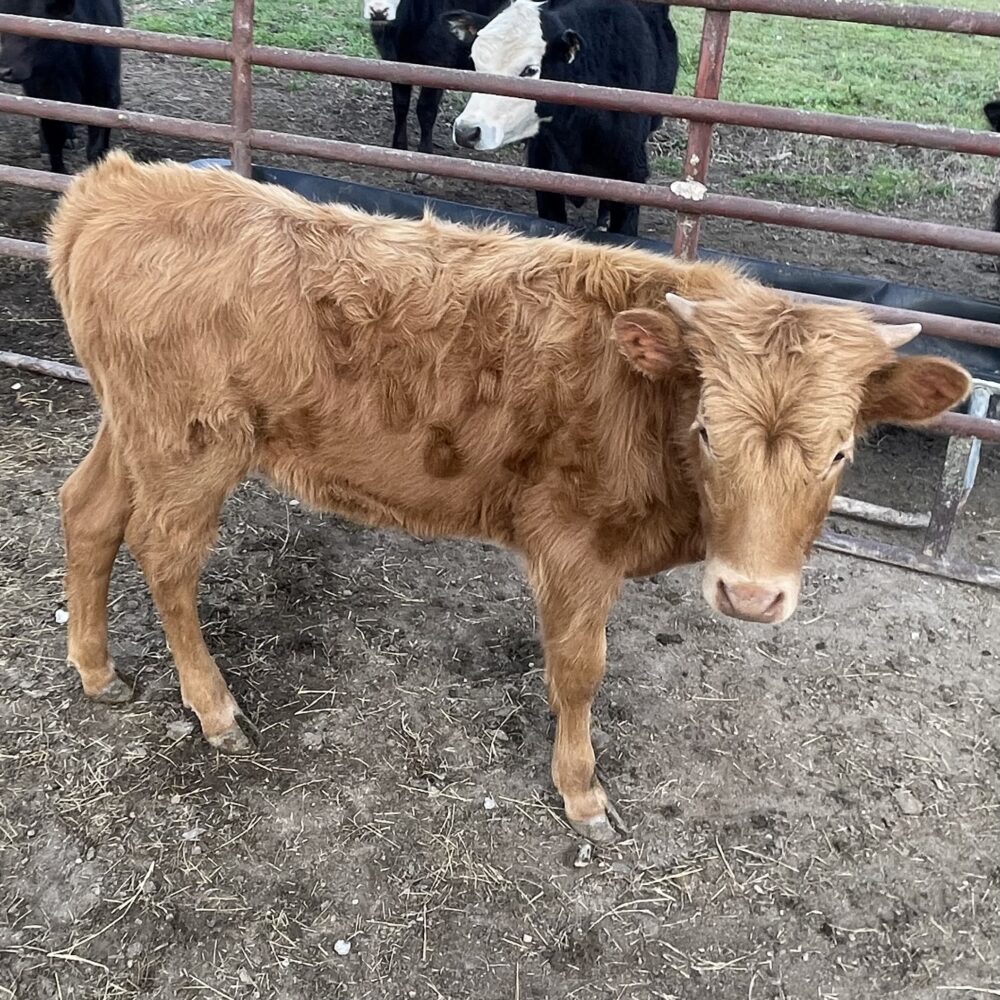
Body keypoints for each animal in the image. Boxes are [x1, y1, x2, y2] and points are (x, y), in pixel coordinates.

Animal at [50, 153, 970, 843]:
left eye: (840, 452)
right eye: (710, 431)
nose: (749, 595)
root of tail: (121, 184)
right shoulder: (572, 545)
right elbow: (578, 670)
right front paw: (582, 792)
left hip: (133, 429)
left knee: (87, 512)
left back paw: (98, 670)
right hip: (190, 449)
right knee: (166, 558)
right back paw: (213, 708)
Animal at [363, 0, 504, 154]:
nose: (379, 11)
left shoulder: (438, 63)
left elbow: (426, 109)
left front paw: (425, 150)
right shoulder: (395, 61)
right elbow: (401, 106)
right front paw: (399, 147)